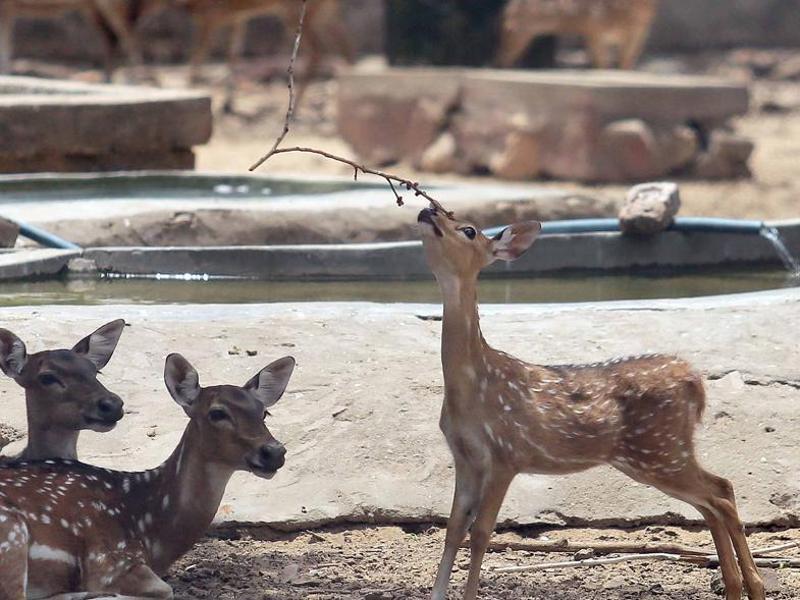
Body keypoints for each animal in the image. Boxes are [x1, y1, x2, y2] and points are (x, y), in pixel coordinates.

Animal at [0, 351, 294, 599]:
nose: (273, 451)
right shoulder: (111, 561)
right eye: (217, 412)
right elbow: (164, 589)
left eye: (264, 412)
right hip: (12, 533)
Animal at [416, 206, 765, 600]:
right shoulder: (466, 458)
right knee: (713, 500)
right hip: (656, 455)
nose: (427, 209)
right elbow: (453, 529)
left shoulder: (506, 454)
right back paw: (738, 586)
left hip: (660, 450)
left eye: (469, 230)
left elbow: (480, 533)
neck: (472, 387)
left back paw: (754, 585)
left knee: (721, 493)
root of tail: (695, 380)